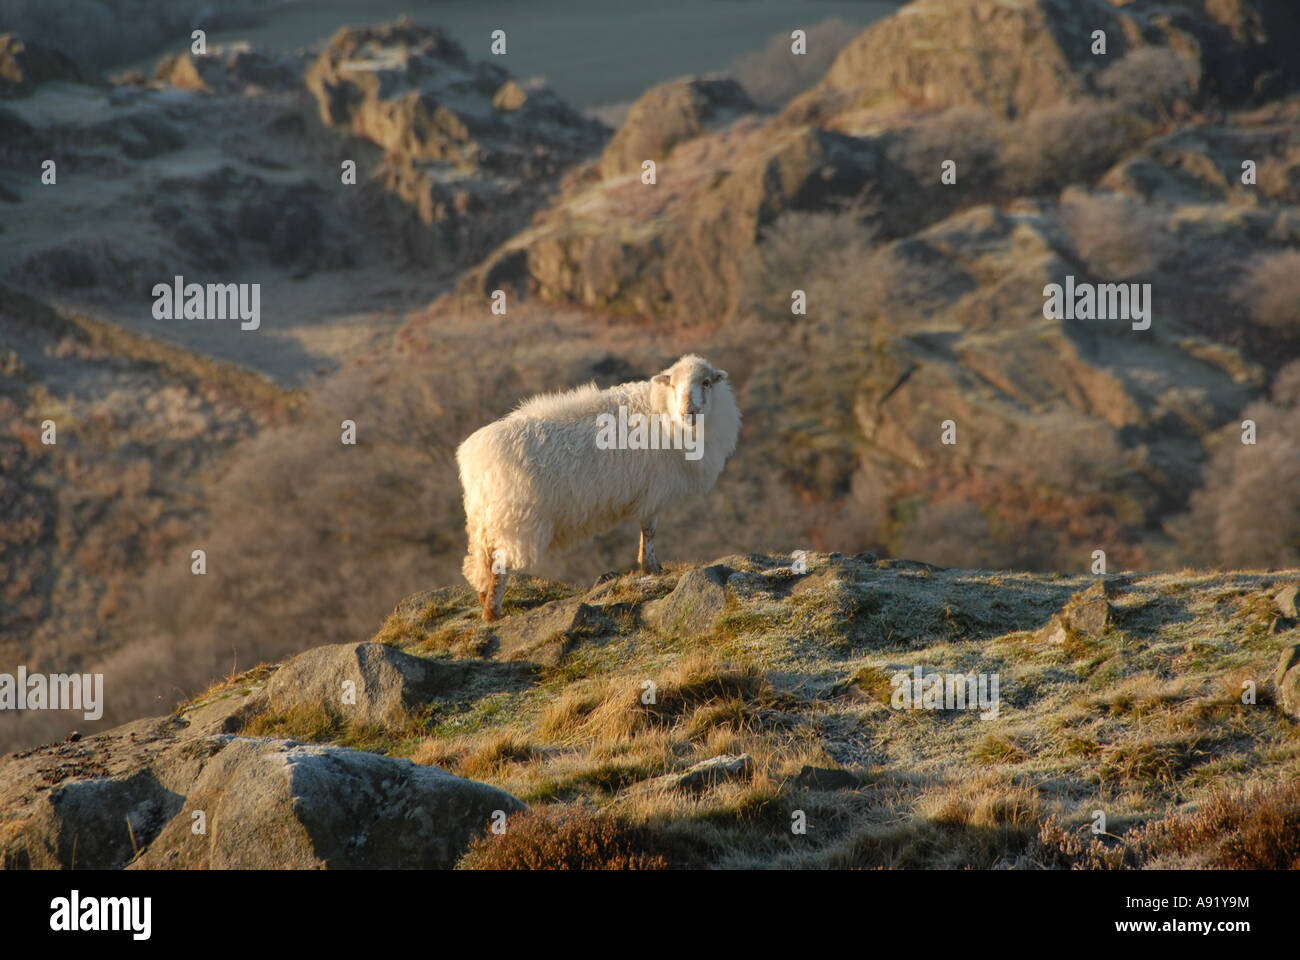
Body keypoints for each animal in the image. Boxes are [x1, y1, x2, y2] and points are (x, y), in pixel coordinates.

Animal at [456, 354, 741, 621]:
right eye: (673, 384)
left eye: (706, 382)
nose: (689, 411)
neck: (661, 409)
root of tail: (474, 458)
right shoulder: (654, 489)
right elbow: (649, 530)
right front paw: (651, 568)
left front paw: (650, 567)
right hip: (515, 520)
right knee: (498, 567)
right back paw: (492, 613)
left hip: (485, 520)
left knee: (480, 563)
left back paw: (484, 600)